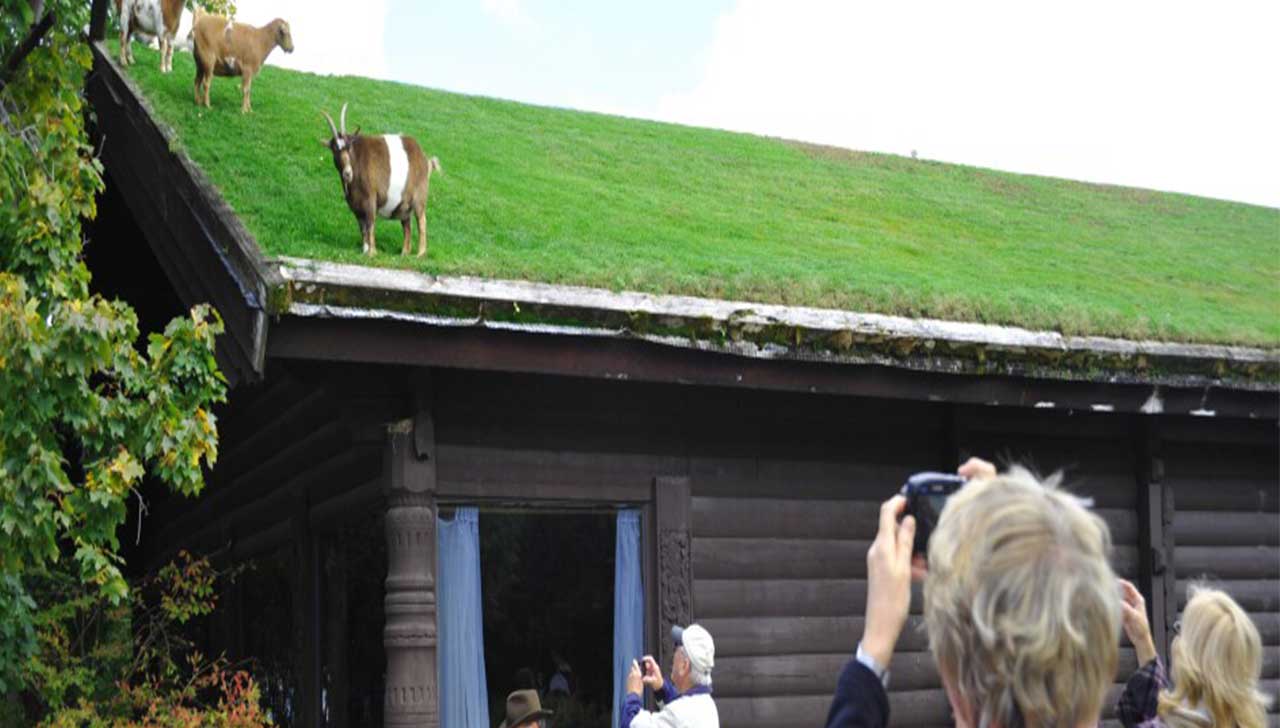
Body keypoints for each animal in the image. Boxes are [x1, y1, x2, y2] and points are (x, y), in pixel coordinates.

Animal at [321, 104, 443, 258]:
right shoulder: (355, 206)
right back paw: (404, 253)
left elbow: (370, 223)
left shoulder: (370, 198)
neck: (357, 161)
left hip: (419, 197)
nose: (348, 173)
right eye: (334, 150)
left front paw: (372, 252)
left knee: (421, 221)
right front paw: (365, 250)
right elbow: (362, 228)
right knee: (407, 225)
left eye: (349, 147)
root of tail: (425, 160)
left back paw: (420, 254)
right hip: (404, 204)